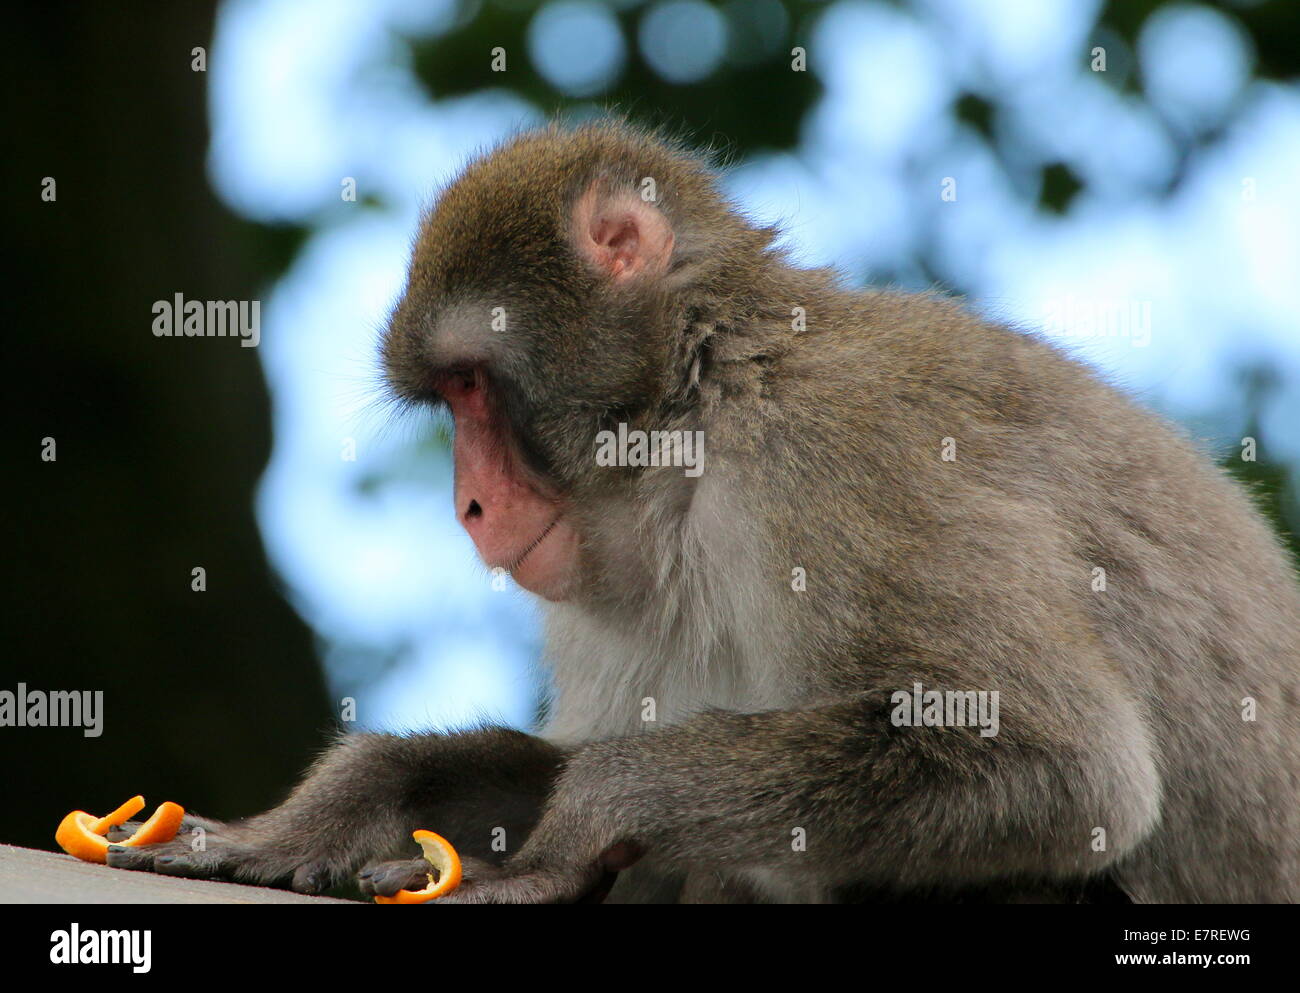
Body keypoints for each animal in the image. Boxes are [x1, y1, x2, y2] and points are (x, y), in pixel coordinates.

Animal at [105, 120, 1300, 903]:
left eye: (472, 386)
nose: (471, 503)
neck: (691, 426)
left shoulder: (844, 464)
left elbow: (1060, 764)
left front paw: (576, 827)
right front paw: (354, 796)